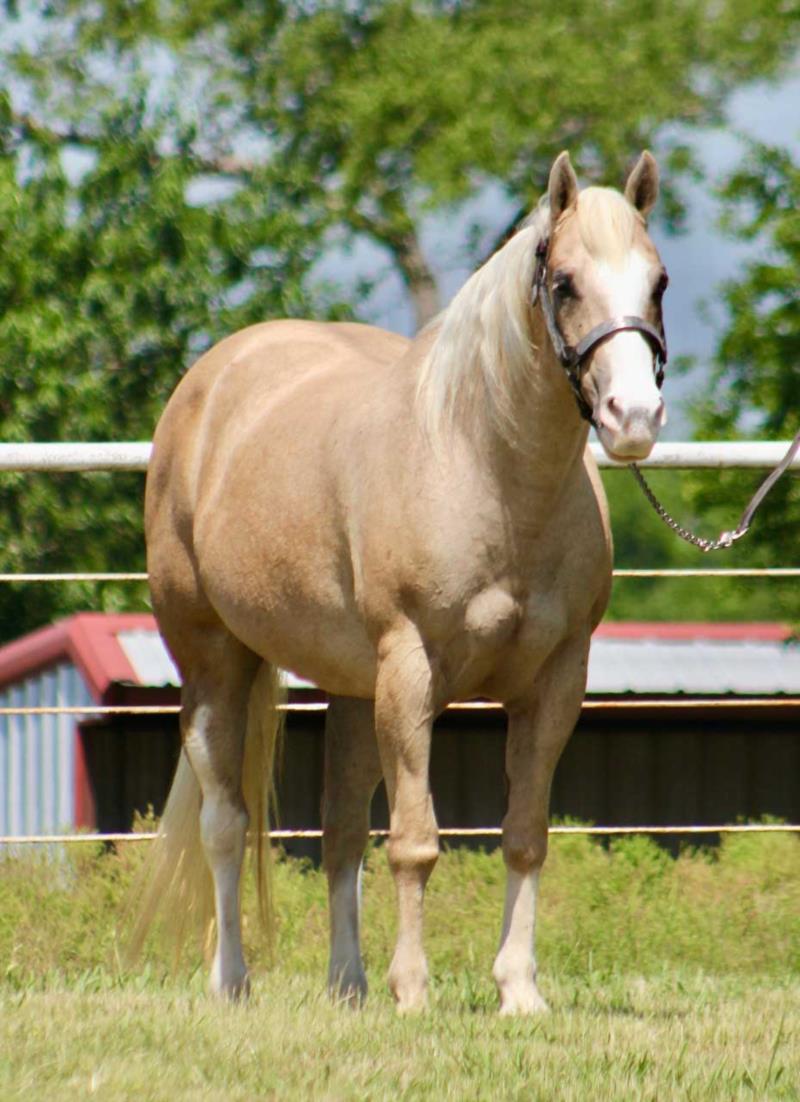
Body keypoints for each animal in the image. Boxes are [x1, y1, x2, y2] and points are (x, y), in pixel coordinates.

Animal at [131, 150, 668, 1014]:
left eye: (657, 282)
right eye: (564, 283)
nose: (634, 418)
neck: (482, 467)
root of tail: (210, 382)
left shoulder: (556, 683)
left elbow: (525, 838)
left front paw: (519, 990)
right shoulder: (412, 674)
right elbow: (415, 842)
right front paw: (413, 991)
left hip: (353, 691)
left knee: (341, 831)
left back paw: (348, 984)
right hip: (216, 663)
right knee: (225, 822)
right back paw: (232, 981)